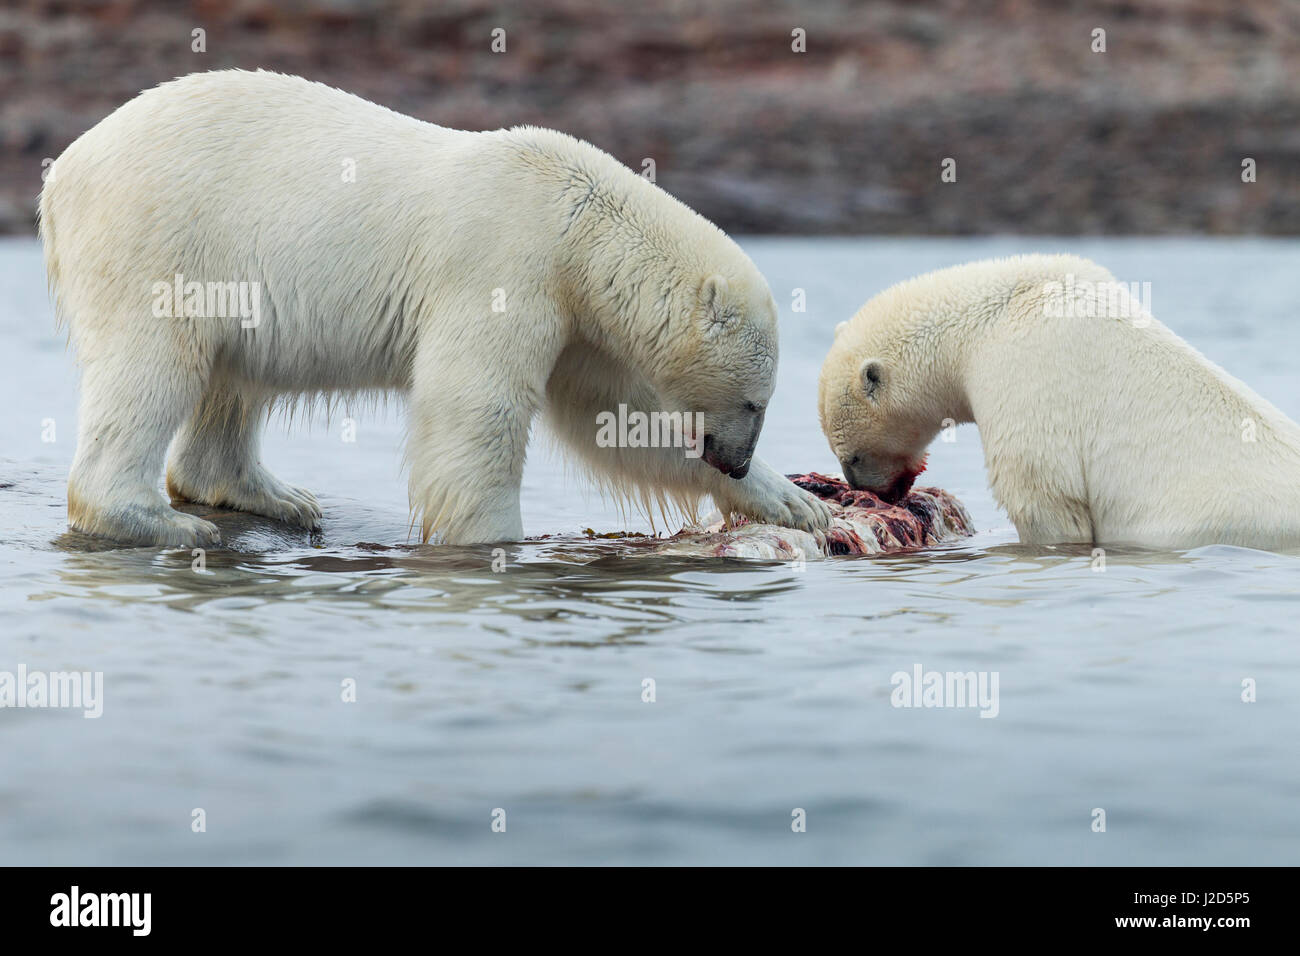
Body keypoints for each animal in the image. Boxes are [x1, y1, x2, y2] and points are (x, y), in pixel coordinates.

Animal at [38, 70, 830, 547]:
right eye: (756, 400)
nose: (733, 461)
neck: (577, 223)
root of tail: (63, 171)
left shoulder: (574, 317)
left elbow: (615, 418)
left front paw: (796, 502)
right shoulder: (506, 262)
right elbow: (478, 408)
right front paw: (495, 541)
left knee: (234, 380)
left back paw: (272, 496)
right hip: (163, 239)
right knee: (153, 368)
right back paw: (155, 521)